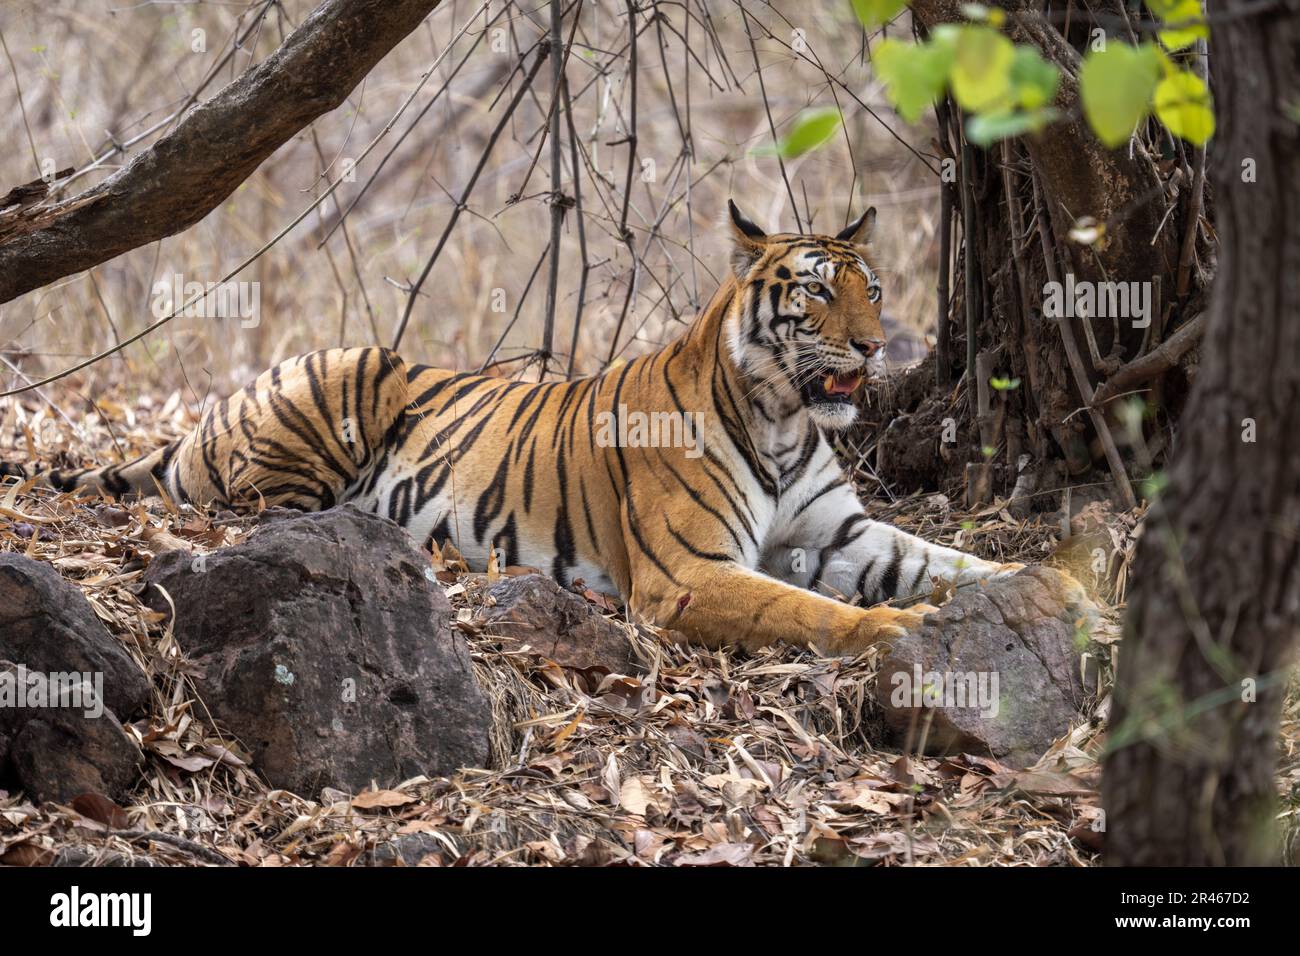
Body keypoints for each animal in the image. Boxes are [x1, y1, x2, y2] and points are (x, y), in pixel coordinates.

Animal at [3, 201, 1024, 655]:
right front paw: (896, 628)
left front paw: (1041, 586)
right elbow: (810, 609)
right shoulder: (689, 574)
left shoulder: (842, 531)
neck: (781, 417)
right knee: (251, 507)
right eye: (815, 291)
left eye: (873, 289)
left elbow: (946, 558)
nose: (877, 343)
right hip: (336, 386)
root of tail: (218, 412)